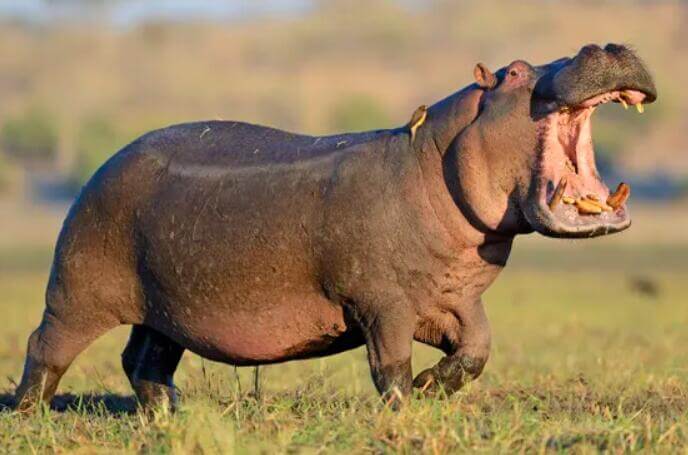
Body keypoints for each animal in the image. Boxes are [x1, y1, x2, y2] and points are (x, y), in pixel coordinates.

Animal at [15, 44, 656, 411]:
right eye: (516, 71)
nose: (605, 43)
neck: (436, 156)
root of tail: (103, 164)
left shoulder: (455, 298)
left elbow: (477, 350)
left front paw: (432, 389)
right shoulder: (384, 302)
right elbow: (389, 365)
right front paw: (404, 408)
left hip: (166, 305)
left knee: (143, 359)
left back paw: (172, 412)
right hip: (76, 290)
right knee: (44, 347)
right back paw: (27, 412)